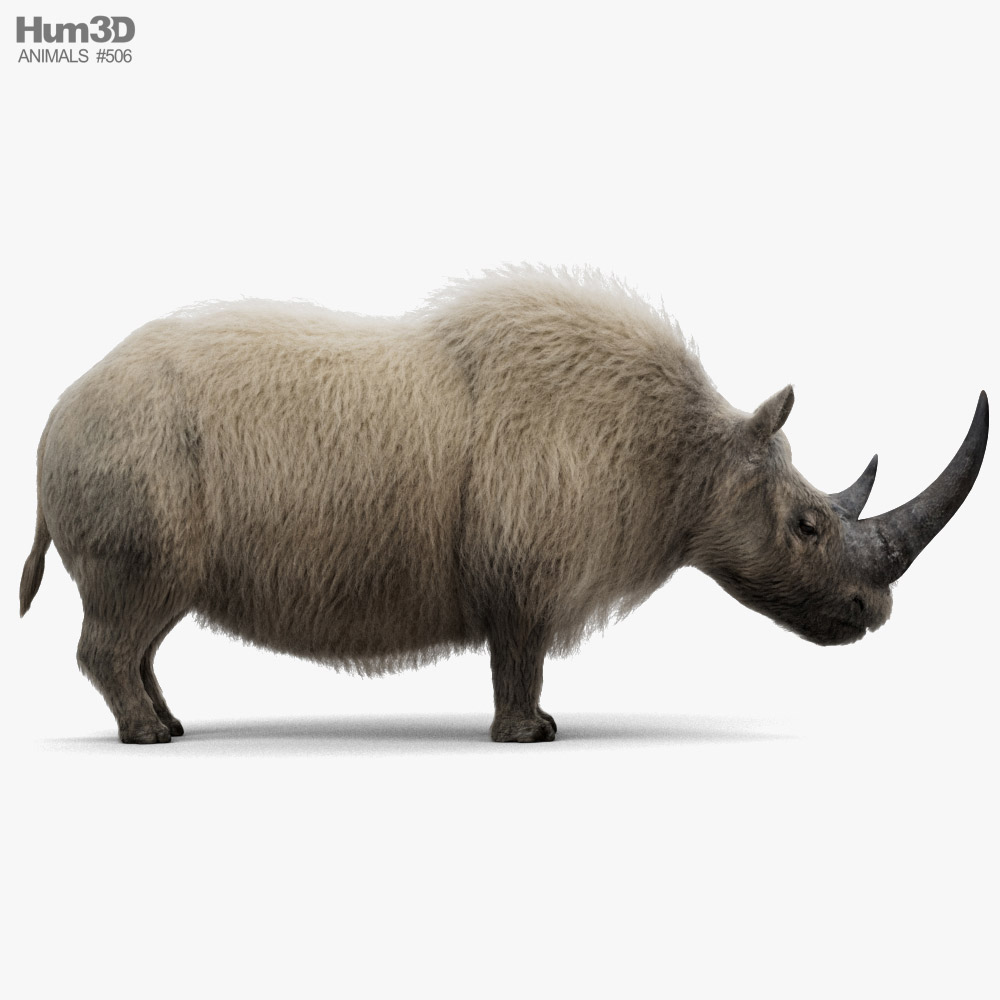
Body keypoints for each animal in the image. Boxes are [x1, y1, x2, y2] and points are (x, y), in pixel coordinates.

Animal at [20, 267, 989, 743]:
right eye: (807, 526)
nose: (875, 612)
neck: (689, 455)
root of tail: (53, 418)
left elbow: (516, 653)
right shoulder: (525, 575)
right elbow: (520, 656)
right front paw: (533, 736)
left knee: (152, 619)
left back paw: (170, 723)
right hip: (128, 447)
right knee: (133, 612)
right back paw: (150, 739)